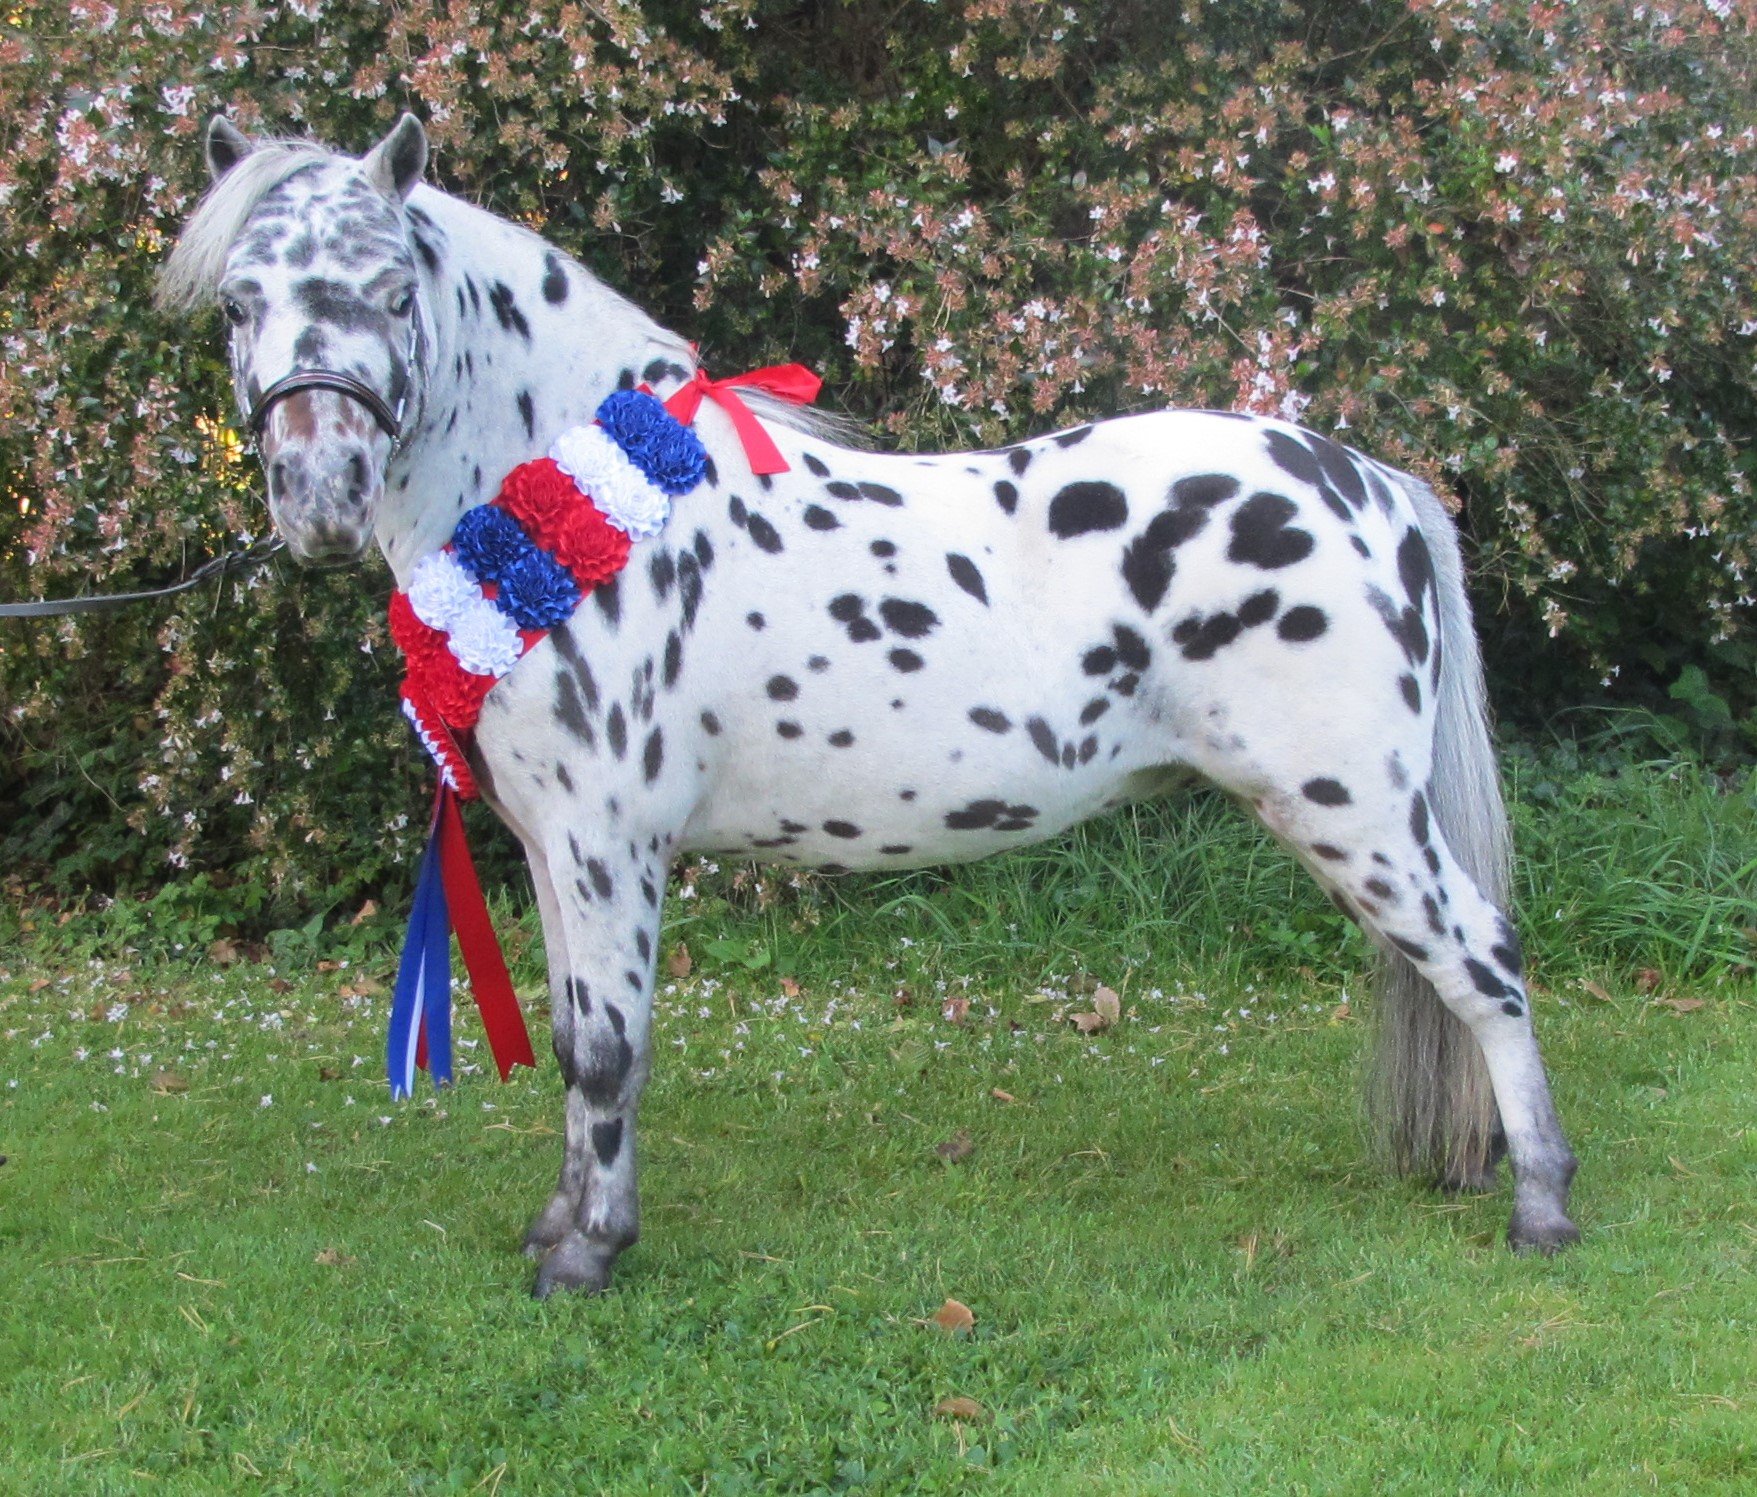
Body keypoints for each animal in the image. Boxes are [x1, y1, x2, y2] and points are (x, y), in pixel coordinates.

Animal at [158, 114, 1578, 1297]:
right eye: (239, 302)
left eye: (392, 291)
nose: (317, 495)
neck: (577, 512)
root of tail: (1367, 482)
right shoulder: (552, 848)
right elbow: (571, 1040)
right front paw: (559, 1224)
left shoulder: (610, 844)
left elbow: (610, 1053)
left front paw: (589, 1258)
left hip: (1355, 815)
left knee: (1484, 964)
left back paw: (1542, 1210)